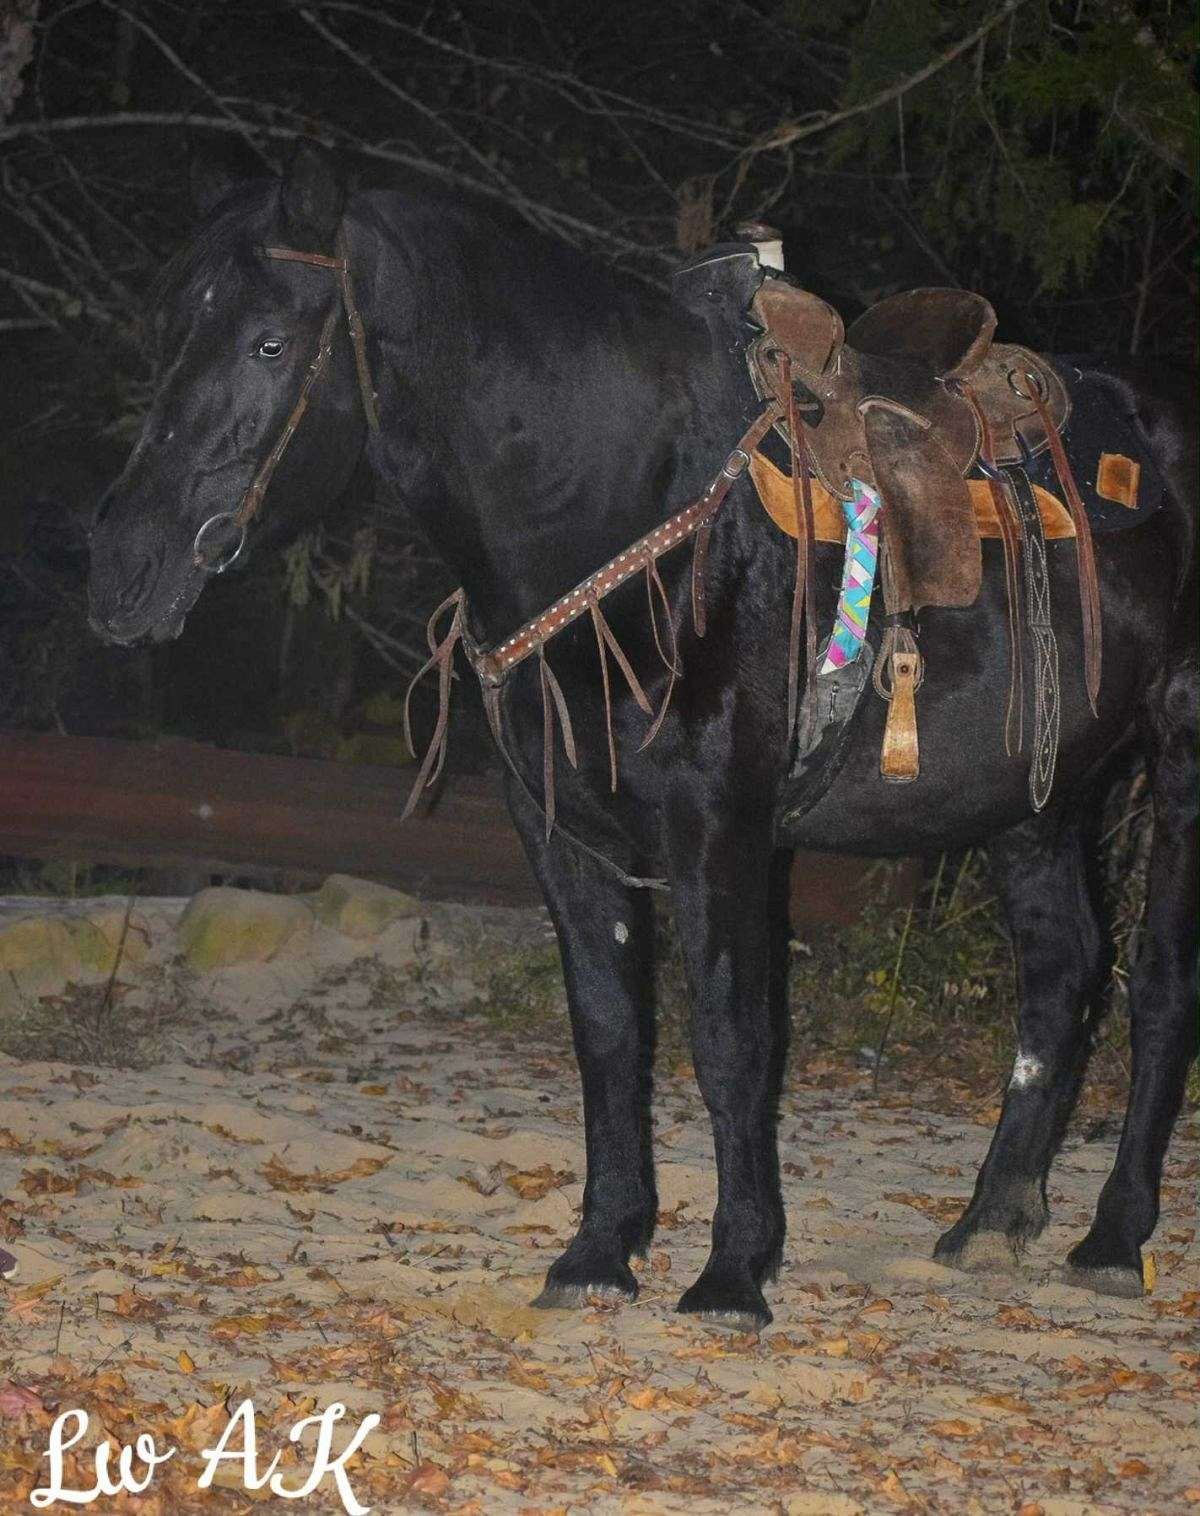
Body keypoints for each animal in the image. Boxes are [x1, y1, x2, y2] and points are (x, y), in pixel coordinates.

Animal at [88, 141, 1197, 1327]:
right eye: (165, 332)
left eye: (269, 342)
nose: (122, 569)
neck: (626, 501)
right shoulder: (562, 827)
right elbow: (611, 1029)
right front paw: (599, 1250)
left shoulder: (720, 824)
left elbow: (729, 1033)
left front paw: (734, 1269)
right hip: (1034, 793)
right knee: (1063, 968)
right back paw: (991, 1217)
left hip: (1178, 758)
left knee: (1160, 987)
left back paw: (1113, 1236)